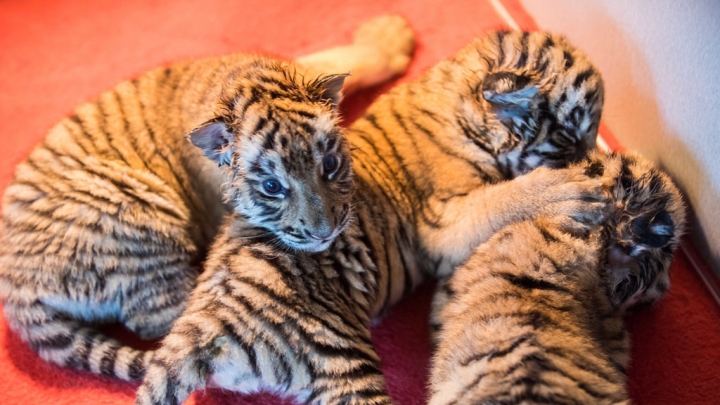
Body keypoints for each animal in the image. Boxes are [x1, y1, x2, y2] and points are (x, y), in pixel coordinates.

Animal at [0, 15, 417, 381]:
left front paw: (388, 37)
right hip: (139, 214)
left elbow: (336, 59)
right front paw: (390, 33)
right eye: (271, 187)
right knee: (173, 319)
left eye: (330, 165)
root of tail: (16, 293)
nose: (323, 233)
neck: (244, 82)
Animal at [135, 31, 608, 404]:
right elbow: (504, 199)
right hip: (342, 361)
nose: (595, 161)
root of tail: (203, 327)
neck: (457, 106)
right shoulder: (440, 223)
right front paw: (568, 189)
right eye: (568, 141)